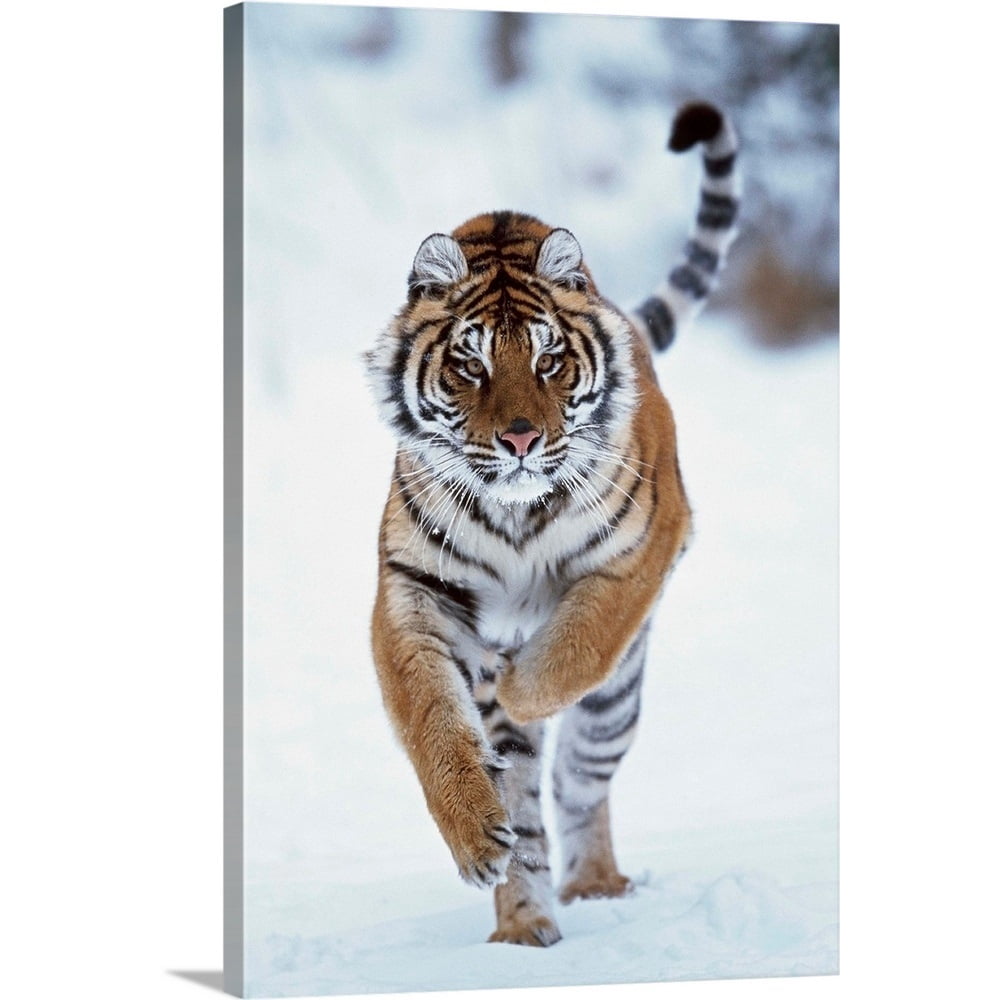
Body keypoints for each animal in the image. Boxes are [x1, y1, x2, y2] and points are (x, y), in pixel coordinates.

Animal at [365, 102, 739, 947]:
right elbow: (429, 714)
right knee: (528, 820)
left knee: (578, 779)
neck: (513, 510)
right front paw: (475, 835)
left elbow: (577, 643)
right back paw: (522, 925)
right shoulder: (414, 585)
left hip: (615, 706)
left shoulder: (645, 547)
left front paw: (520, 684)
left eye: (549, 360)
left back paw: (595, 884)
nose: (520, 441)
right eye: (470, 364)